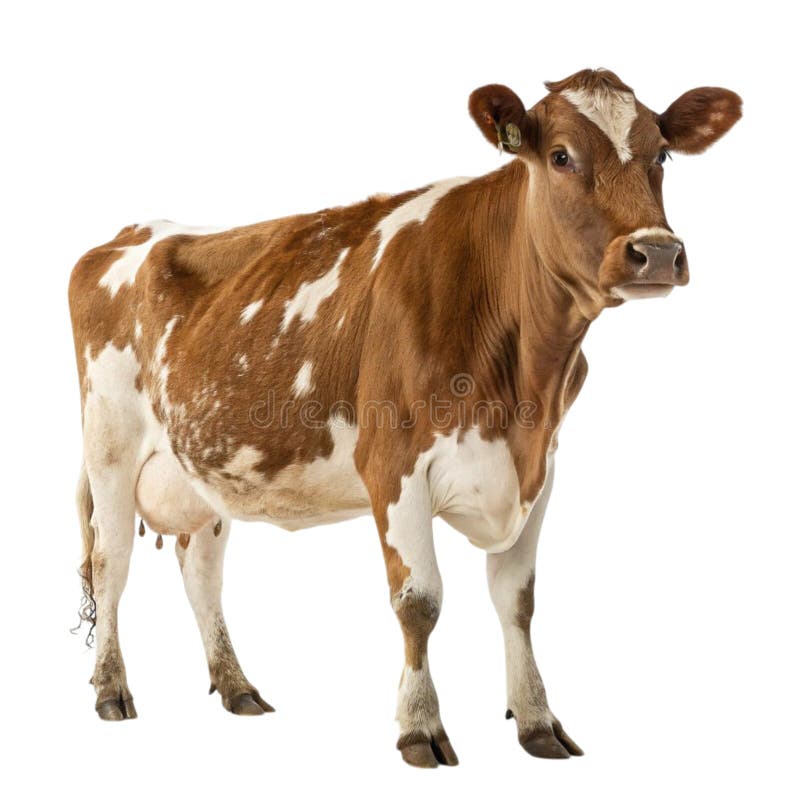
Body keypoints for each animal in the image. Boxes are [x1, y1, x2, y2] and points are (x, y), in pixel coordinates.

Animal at [69, 68, 741, 767]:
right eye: (559, 156)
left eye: (661, 154)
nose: (656, 252)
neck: (526, 386)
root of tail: (135, 233)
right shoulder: (394, 465)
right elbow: (419, 602)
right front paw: (420, 727)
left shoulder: (539, 468)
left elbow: (518, 600)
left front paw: (536, 721)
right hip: (110, 445)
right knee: (111, 563)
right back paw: (111, 690)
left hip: (204, 469)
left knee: (201, 569)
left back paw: (237, 687)